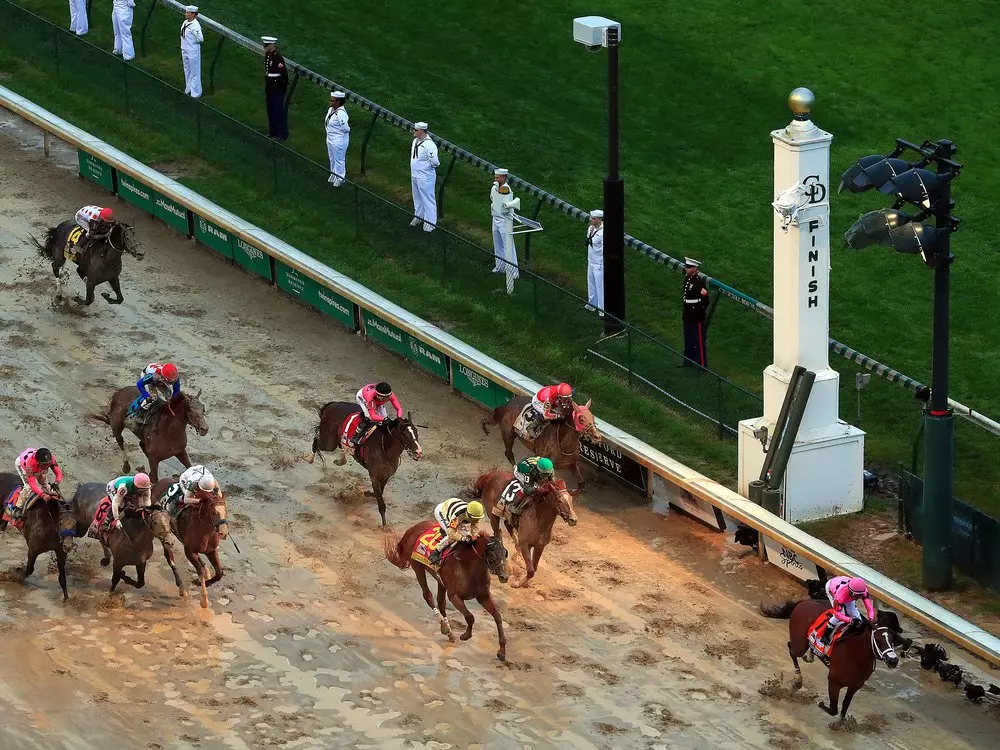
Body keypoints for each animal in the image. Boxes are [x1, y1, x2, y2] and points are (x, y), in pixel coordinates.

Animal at [0, 472, 73, 604]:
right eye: (61, 522)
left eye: (75, 523)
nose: (68, 546)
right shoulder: (33, 550)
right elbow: (29, 570)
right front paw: (12, 575)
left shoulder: (60, 551)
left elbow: (62, 578)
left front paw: (66, 598)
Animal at [150, 482, 229, 612]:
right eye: (214, 512)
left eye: (226, 510)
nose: (224, 532)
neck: (204, 529)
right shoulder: (189, 552)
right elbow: (199, 570)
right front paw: (204, 599)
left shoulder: (211, 550)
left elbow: (219, 573)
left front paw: (202, 580)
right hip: (163, 534)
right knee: (169, 557)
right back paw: (182, 588)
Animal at [382, 524, 508, 664]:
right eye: (491, 554)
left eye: (505, 553)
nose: (504, 576)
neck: (468, 566)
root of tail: (412, 529)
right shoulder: (454, 596)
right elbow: (470, 617)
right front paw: (465, 635)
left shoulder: (483, 596)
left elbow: (497, 616)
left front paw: (502, 652)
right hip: (418, 567)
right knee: (428, 596)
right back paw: (447, 629)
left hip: (440, 580)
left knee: (441, 602)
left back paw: (448, 632)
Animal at [760, 600, 904, 724]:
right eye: (878, 640)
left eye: (892, 640)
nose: (893, 660)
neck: (855, 654)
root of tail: (804, 601)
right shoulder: (834, 681)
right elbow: (833, 709)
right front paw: (821, 703)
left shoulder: (855, 685)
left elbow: (845, 705)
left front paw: (844, 722)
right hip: (799, 644)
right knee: (791, 650)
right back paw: (798, 679)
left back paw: (810, 656)